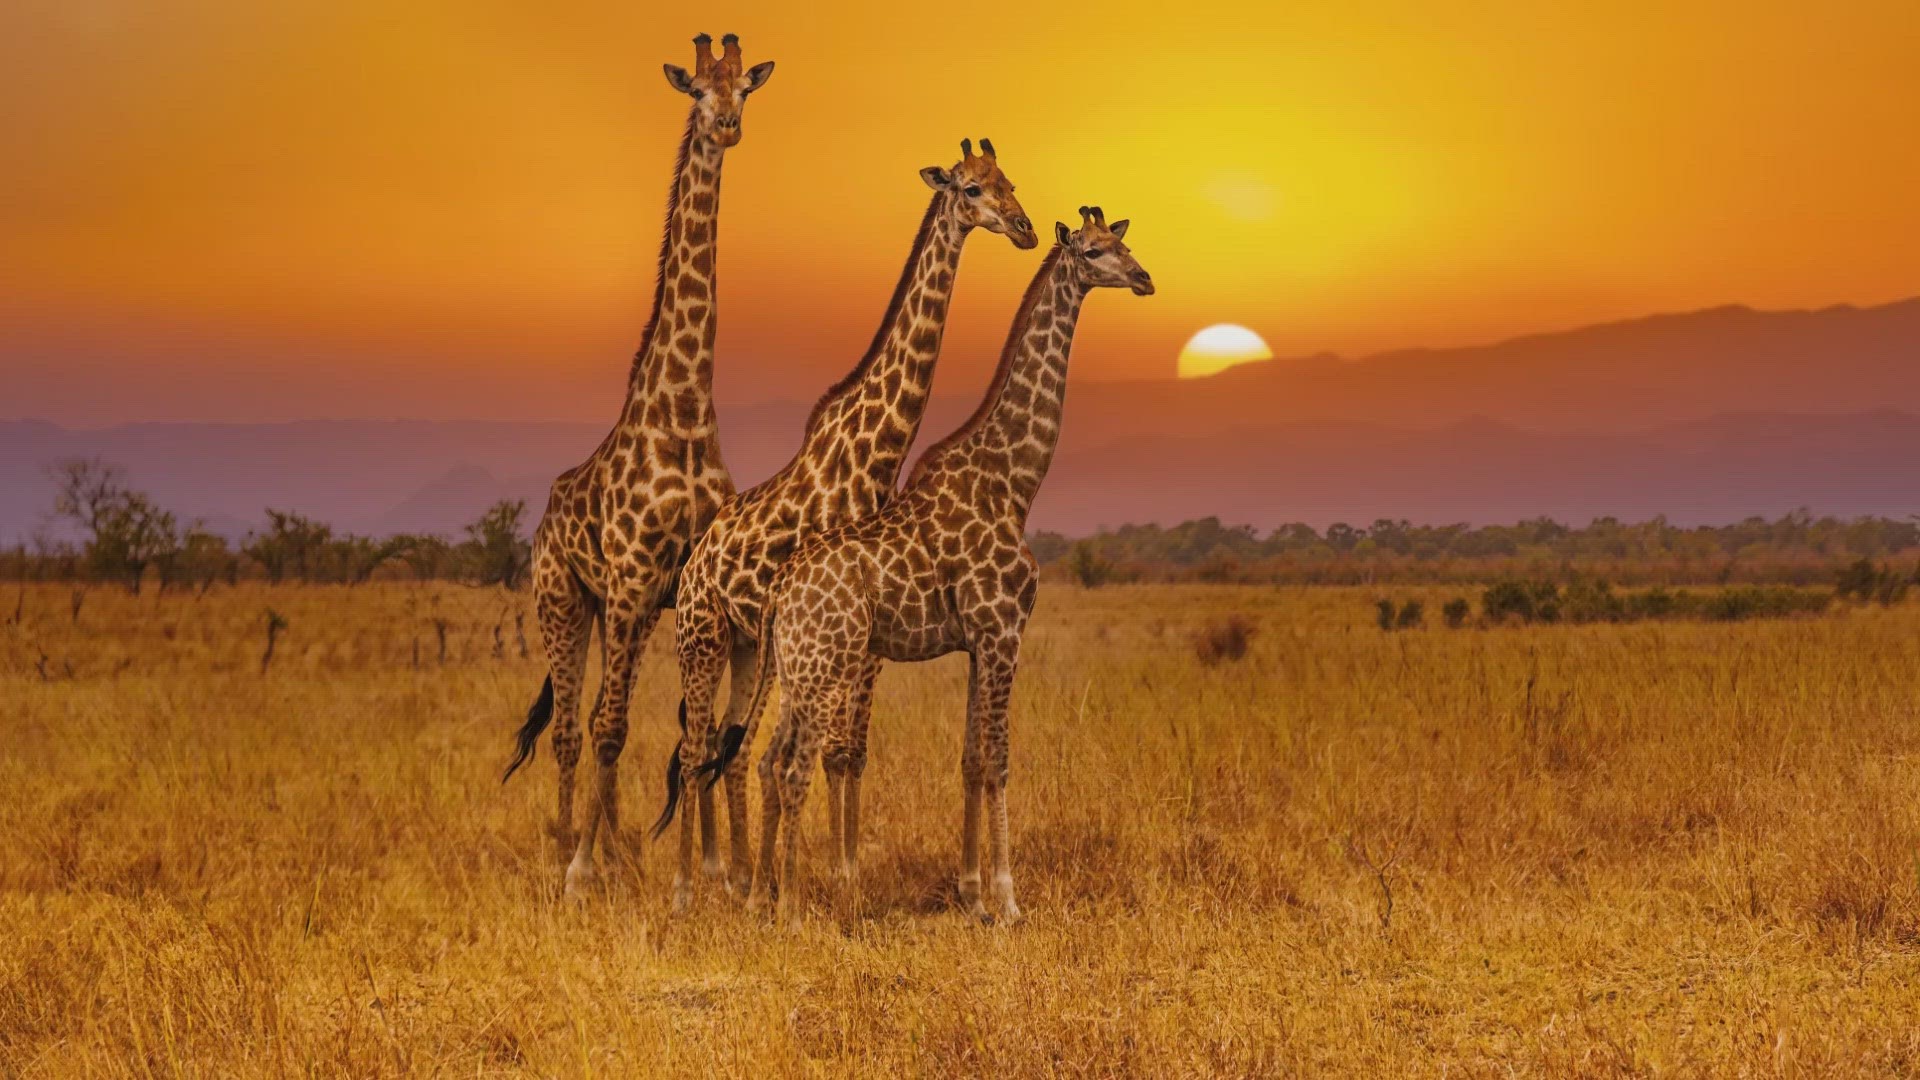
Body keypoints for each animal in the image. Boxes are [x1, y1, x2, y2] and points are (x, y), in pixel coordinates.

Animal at [498, 33, 774, 897]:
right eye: (697, 91)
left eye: (744, 89)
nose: (726, 127)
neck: (683, 411)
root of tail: (545, 516)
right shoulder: (626, 582)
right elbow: (613, 726)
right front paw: (582, 867)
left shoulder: (681, 586)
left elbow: (697, 729)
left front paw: (711, 868)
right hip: (564, 600)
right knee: (574, 727)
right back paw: (568, 849)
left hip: (628, 610)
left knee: (597, 720)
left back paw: (616, 846)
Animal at [653, 139, 1038, 910]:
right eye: (973, 188)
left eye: (1009, 182)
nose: (1023, 228)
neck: (872, 454)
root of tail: (696, 561)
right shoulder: (848, 632)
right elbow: (829, 752)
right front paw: (830, 879)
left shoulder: (870, 637)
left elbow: (849, 752)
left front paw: (839, 872)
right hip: (703, 636)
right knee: (698, 745)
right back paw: (691, 885)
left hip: (749, 646)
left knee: (726, 750)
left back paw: (734, 876)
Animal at [728, 207, 1153, 923]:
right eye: (1095, 252)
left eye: (1123, 244)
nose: (1146, 278)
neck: (1015, 482)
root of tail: (780, 588)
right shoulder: (1004, 631)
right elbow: (1001, 760)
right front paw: (1008, 901)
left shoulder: (978, 641)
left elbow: (970, 761)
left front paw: (971, 892)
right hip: (826, 665)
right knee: (791, 765)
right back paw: (789, 907)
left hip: (796, 666)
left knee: (769, 760)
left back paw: (763, 897)